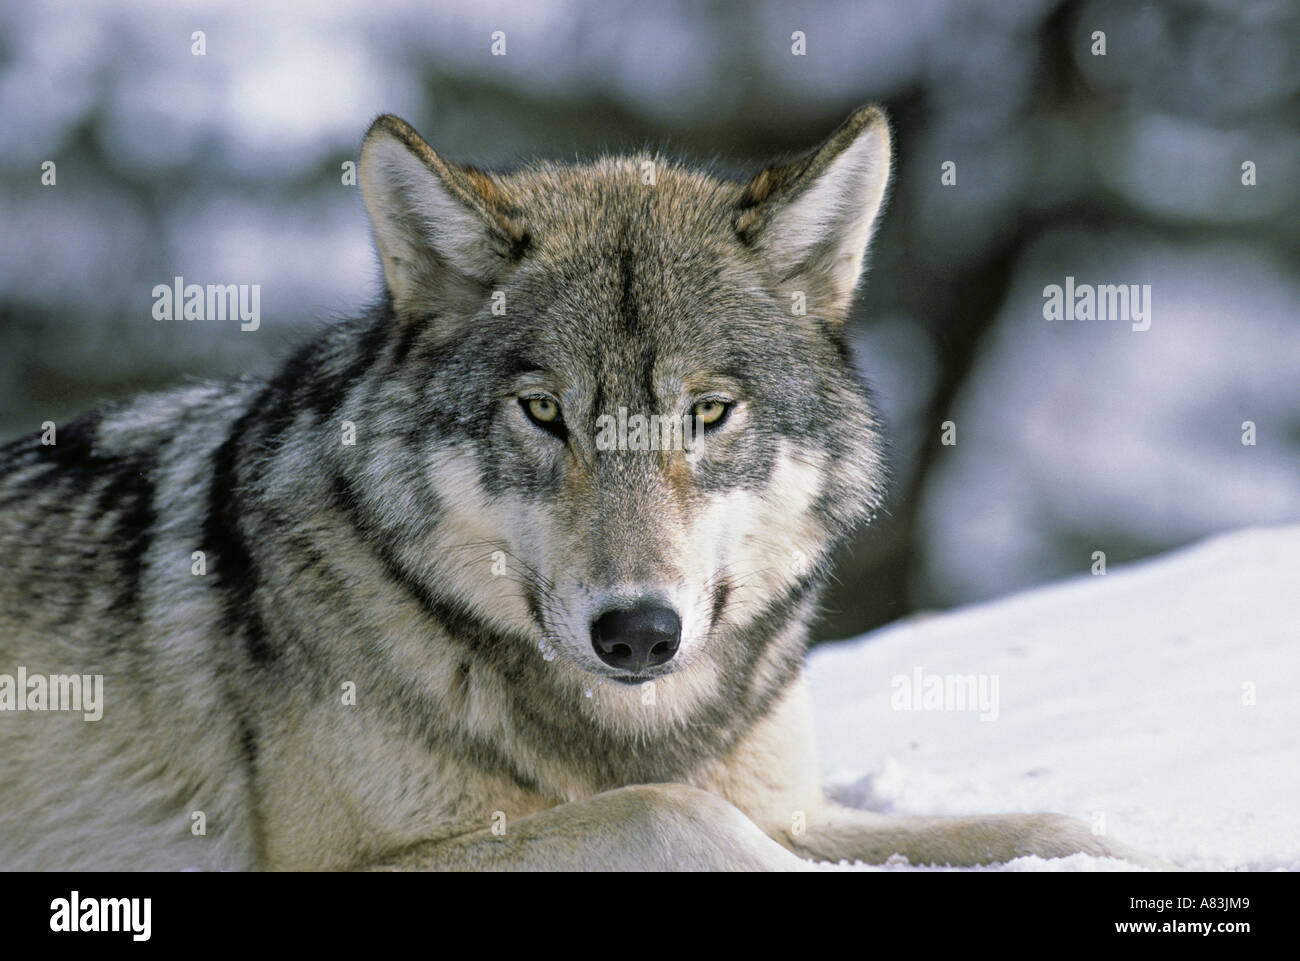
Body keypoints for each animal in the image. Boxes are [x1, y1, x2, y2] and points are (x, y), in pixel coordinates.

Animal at [0, 106, 1167, 870]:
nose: (639, 632)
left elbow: (1049, 826)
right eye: (544, 412)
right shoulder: (351, 863)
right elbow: (672, 814)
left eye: (707, 412)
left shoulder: (790, 800)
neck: (628, 731)